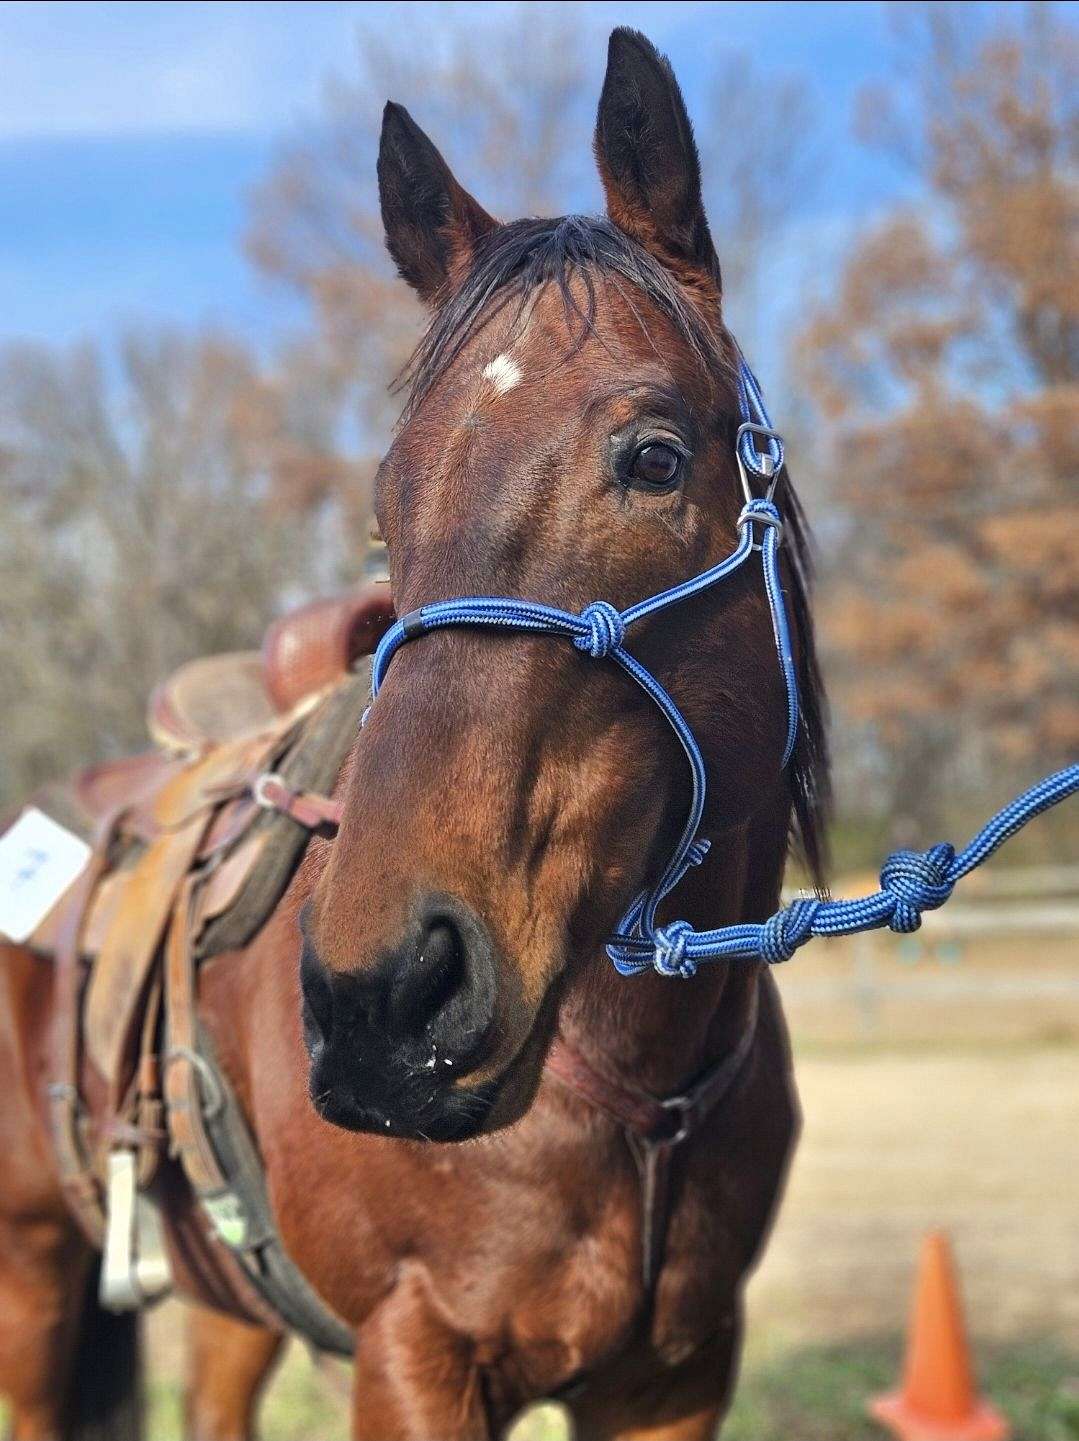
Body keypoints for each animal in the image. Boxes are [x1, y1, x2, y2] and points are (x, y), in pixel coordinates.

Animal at [0, 28, 829, 1441]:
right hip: (31, 1275)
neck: (633, 1097)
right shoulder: (413, 1357)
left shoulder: (674, 1378)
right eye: (388, 507)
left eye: (654, 459)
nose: (379, 998)